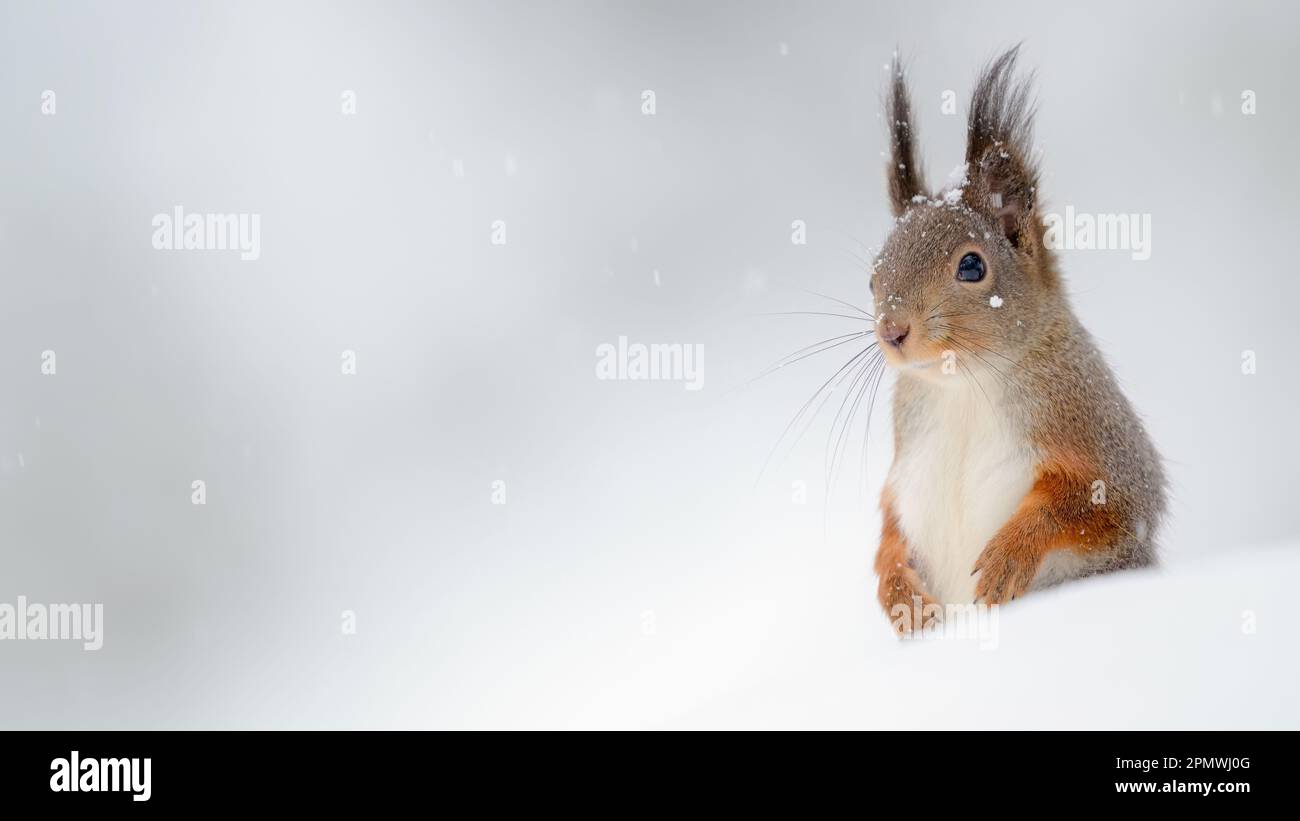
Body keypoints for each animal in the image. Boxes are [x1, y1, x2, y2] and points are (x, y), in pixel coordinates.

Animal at [870, 47, 1167, 634]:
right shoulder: (903, 474)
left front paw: (1009, 556)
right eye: (874, 273)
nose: (892, 331)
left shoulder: (1103, 440)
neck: (963, 388)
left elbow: (1098, 502)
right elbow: (890, 533)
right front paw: (900, 596)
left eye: (971, 265)